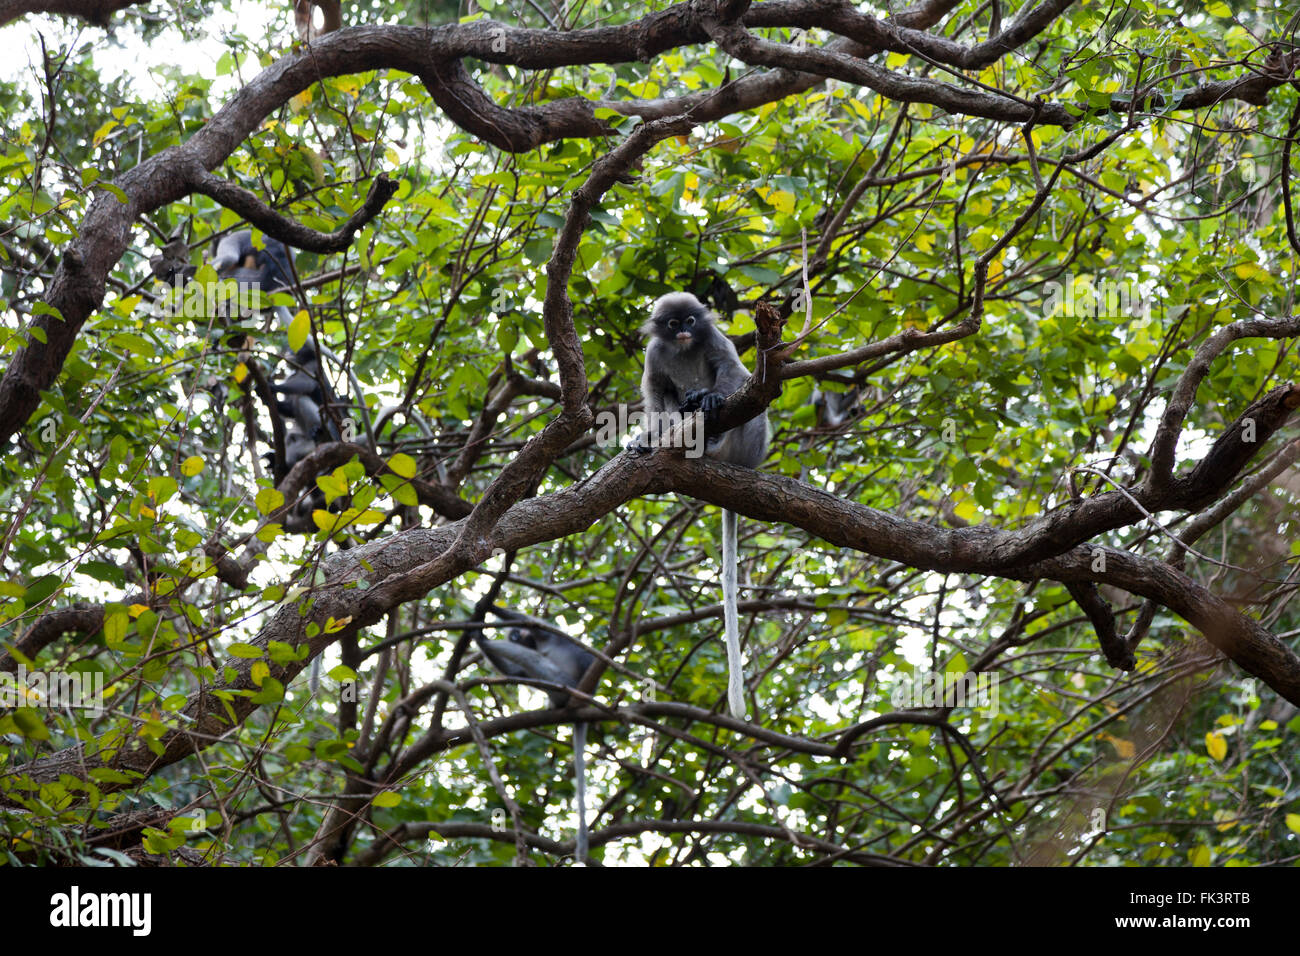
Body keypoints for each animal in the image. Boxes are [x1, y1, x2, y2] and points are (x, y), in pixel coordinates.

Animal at [476, 625, 595, 864]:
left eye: (516, 633)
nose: (516, 635)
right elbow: (517, 673)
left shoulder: (546, 634)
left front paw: (479, 629)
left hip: (566, 685)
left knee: (534, 660)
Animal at [640, 292, 768, 719]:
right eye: (672, 322)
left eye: (692, 321)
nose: (682, 330)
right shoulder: (654, 355)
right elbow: (656, 392)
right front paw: (647, 439)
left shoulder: (714, 340)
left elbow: (735, 371)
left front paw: (710, 396)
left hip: (751, 443)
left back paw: (708, 422)